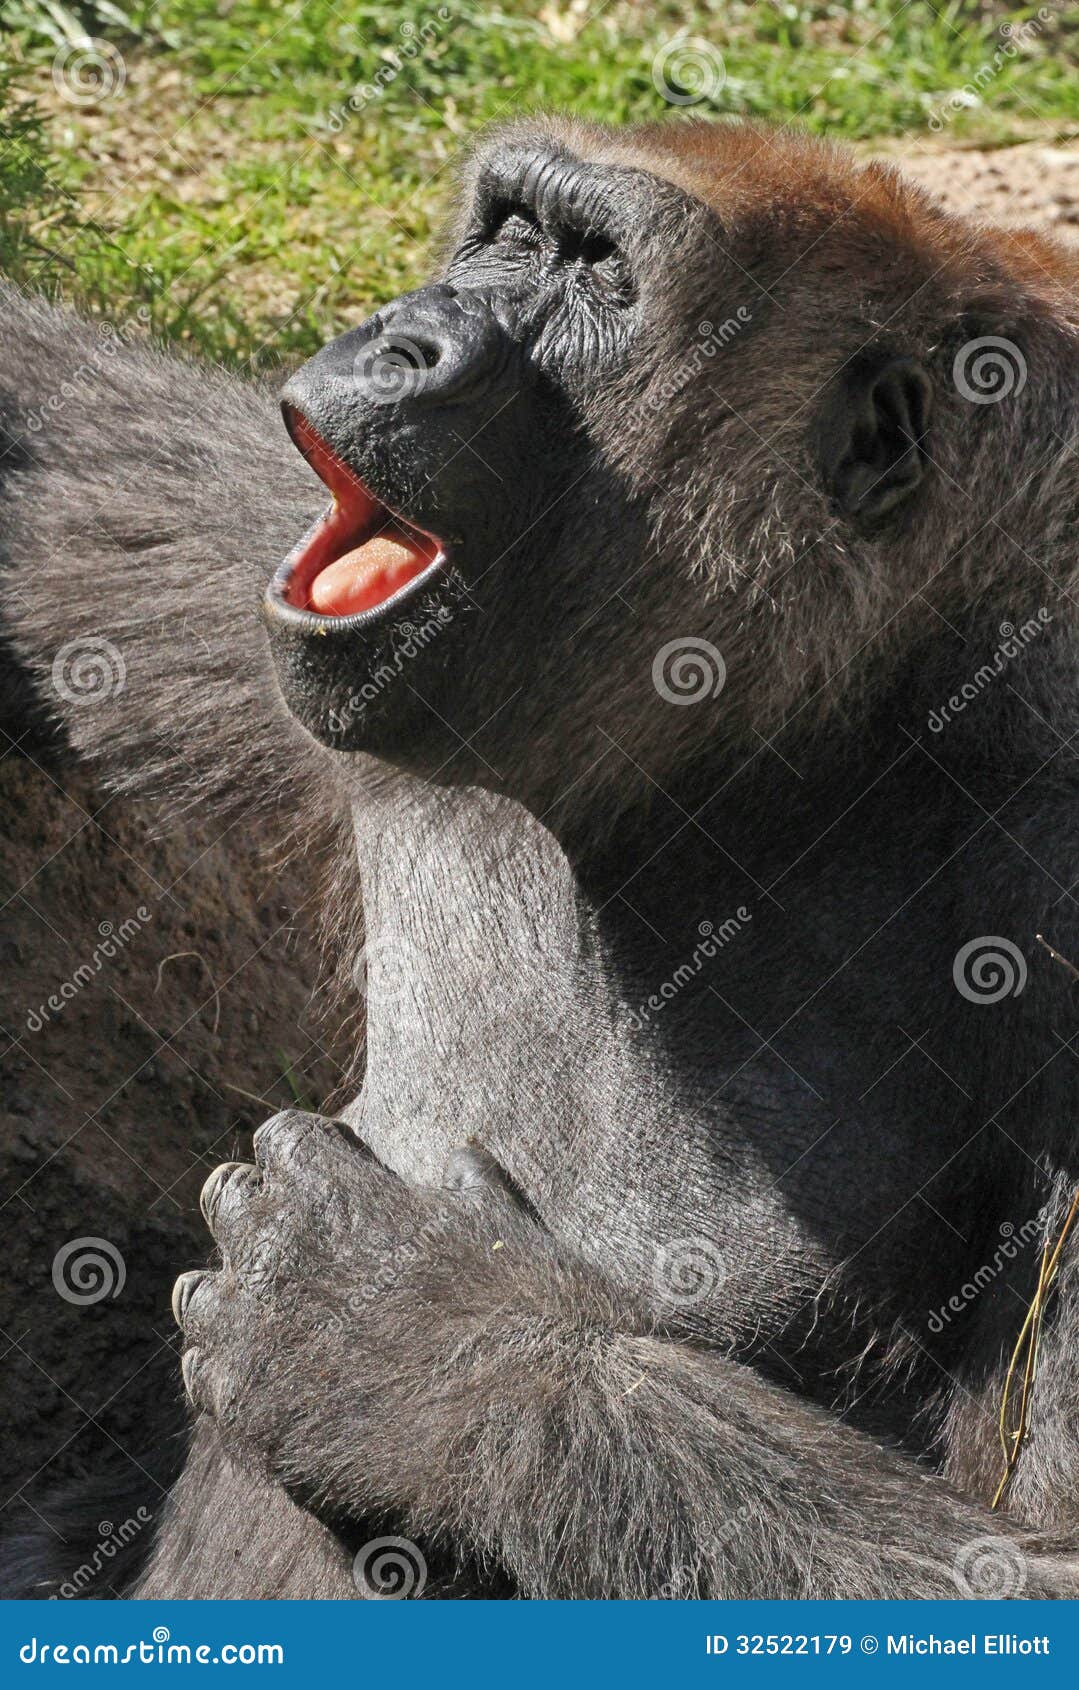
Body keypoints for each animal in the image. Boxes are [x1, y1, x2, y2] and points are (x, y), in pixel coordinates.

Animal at [1, 114, 1078, 1600]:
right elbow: (50, 446)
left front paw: (422, 1342)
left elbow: (1031, 1558)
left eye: (598, 275)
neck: (763, 757)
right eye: (506, 234)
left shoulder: (1055, 887)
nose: (404, 336)